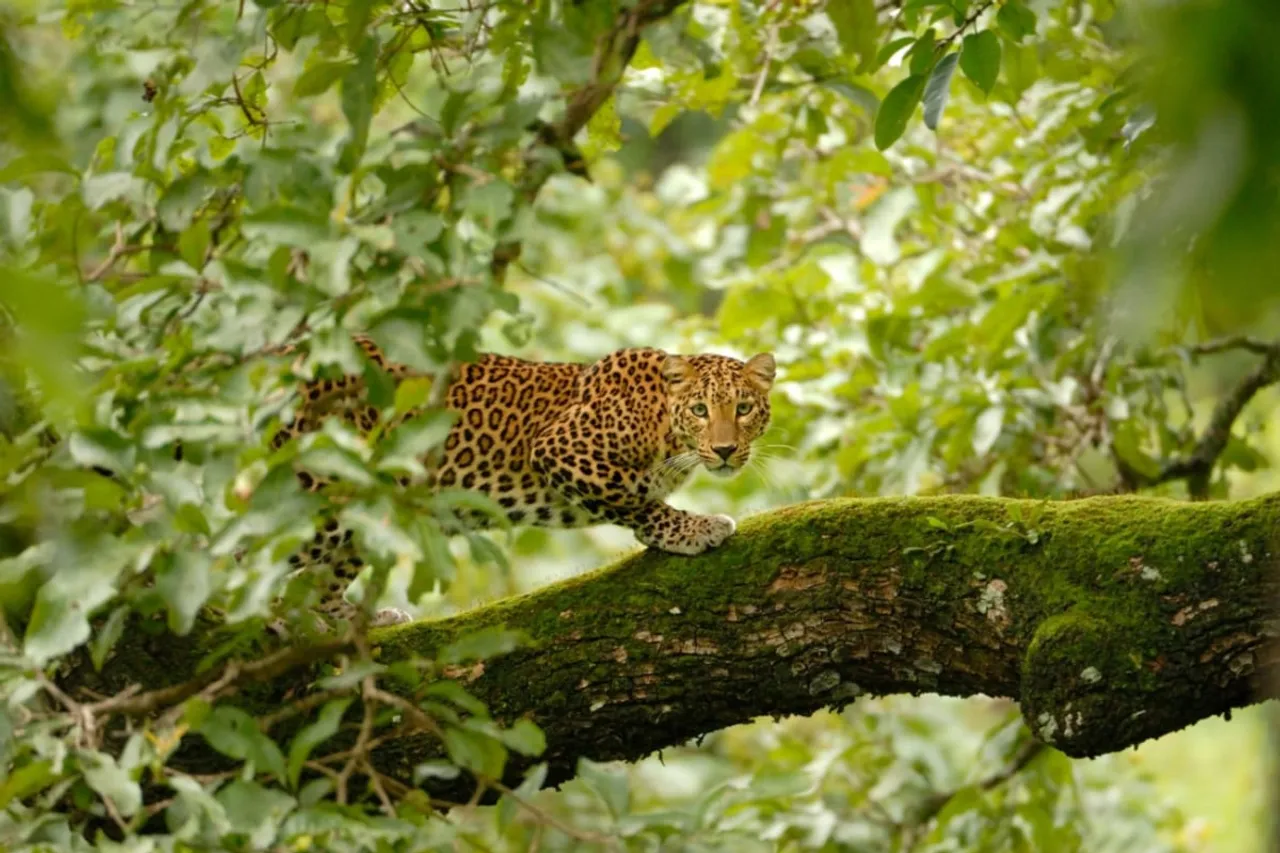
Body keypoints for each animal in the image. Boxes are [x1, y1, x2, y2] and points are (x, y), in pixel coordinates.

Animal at [272, 334, 777, 628]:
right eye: (700, 410)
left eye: (744, 408)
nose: (726, 450)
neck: (664, 425)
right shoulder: (560, 449)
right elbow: (634, 502)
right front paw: (693, 529)